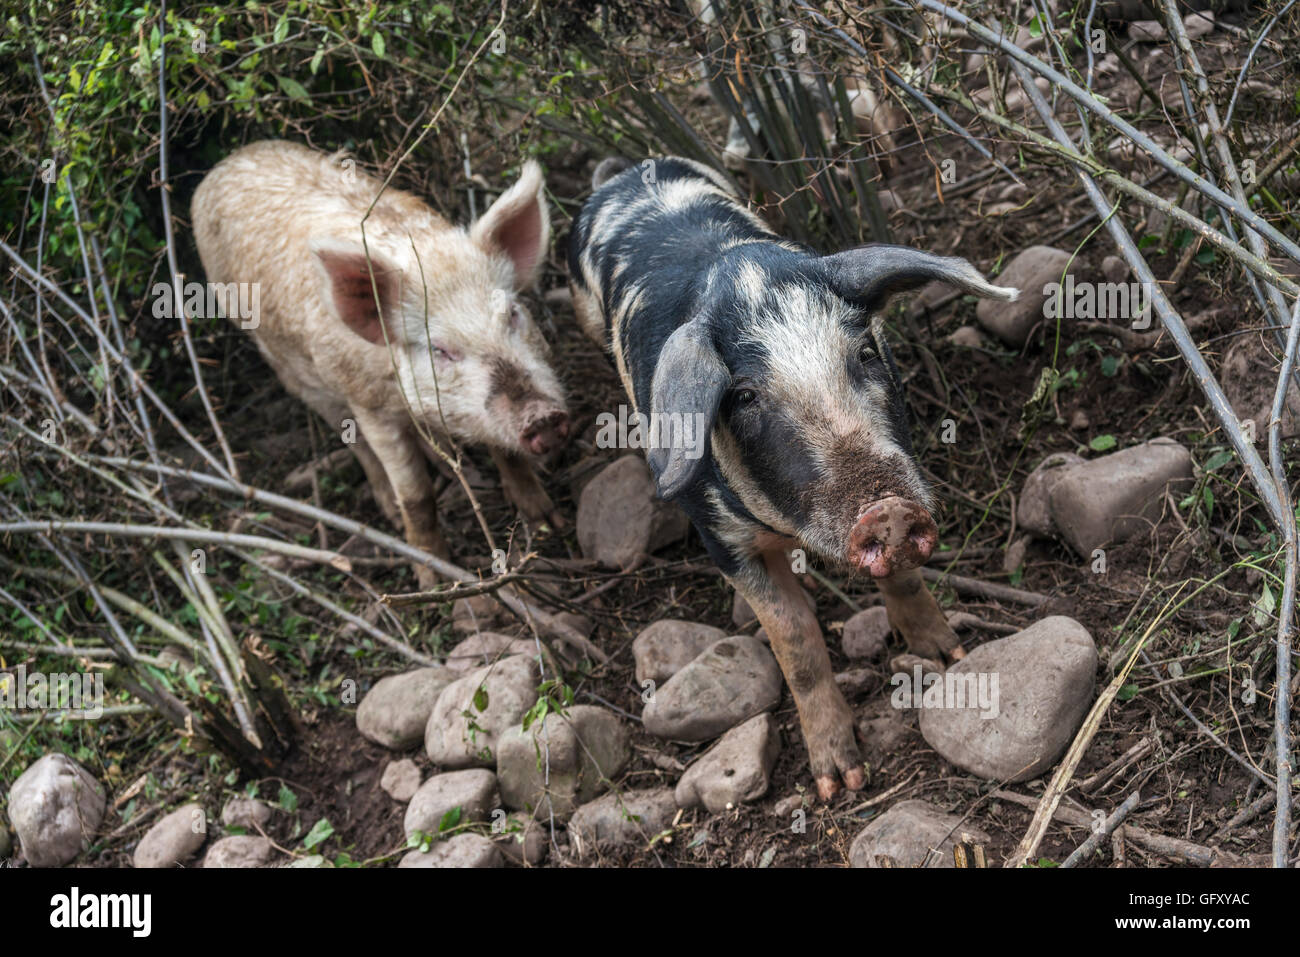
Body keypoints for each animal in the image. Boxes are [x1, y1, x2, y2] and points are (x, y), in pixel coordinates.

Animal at [192, 141, 569, 586]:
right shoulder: (370, 406)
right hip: (285, 364)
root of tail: (225, 163)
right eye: (440, 349)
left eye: (512, 313)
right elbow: (417, 497)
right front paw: (435, 580)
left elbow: (508, 455)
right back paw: (389, 508)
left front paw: (550, 524)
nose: (540, 414)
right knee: (346, 434)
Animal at [567, 156, 1018, 799]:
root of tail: (621, 172)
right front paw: (840, 782)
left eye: (865, 353)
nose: (885, 510)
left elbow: (904, 580)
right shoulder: (722, 540)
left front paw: (948, 654)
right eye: (743, 395)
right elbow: (795, 641)